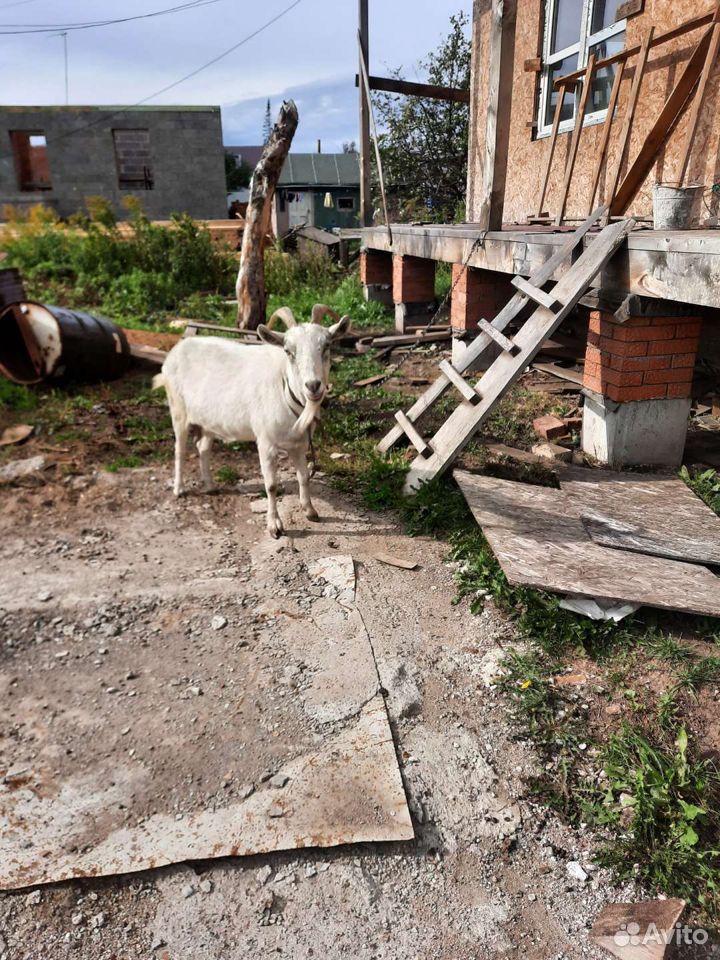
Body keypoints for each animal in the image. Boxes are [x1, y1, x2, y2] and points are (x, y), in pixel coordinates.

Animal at [153, 304, 350, 537]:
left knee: (203, 447)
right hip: (177, 407)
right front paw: (274, 526)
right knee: (180, 449)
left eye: (327, 346)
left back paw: (210, 485)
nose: (313, 385)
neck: (284, 387)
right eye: (288, 351)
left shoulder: (299, 444)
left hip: (209, 419)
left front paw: (310, 511)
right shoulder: (266, 442)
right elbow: (271, 485)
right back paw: (179, 489)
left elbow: (303, 476)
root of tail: (177, 349)